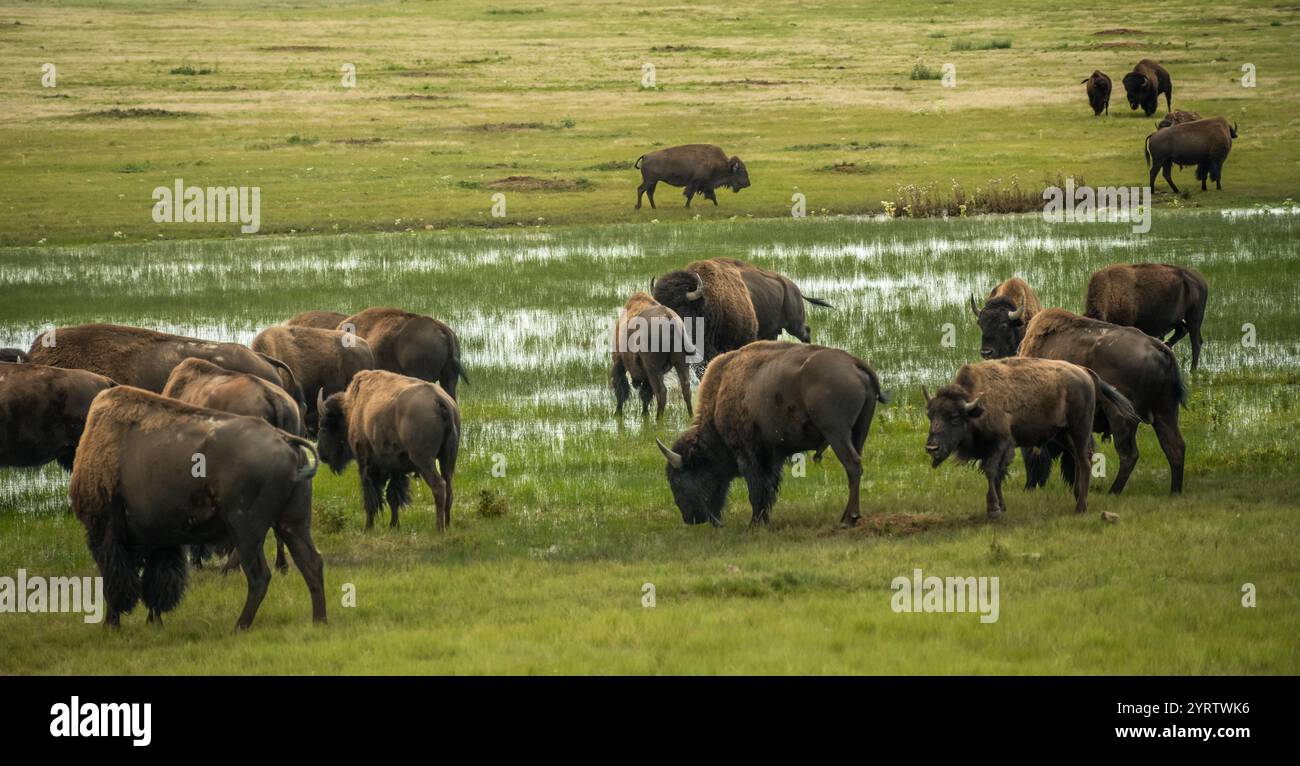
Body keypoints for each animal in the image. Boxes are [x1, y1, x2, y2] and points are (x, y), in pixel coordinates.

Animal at [70, 386, 325, 629]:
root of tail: (286, 440)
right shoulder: (162, 540)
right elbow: (157, 582)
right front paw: (154, 621)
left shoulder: (107, 533)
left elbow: (115, 581)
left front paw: (113, 624)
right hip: (292, 523)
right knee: (311, 563)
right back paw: (318, 621)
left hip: (246, 530)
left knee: (259, 576)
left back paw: (239, 626)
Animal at [318, 370, 460, 531]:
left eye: (323, 427)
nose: (321, 453)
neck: (352, 408)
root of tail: (439, 400)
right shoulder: (396, 469)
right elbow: (393, 497)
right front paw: (393, 525)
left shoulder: (365, 464)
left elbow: (371, 497)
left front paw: (368, 527)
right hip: (447, 459)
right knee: (449, 488)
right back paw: (447, 525)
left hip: (424, 461)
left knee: (439, 486)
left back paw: (439, 528)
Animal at [655, 341, 888, 527]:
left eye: (676, 480)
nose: (690, 519)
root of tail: (853, 363)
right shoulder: (773, 455)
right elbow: (769, 488)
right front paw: (764, 520)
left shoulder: (747, 454)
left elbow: (756, 489)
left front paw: (754, 524)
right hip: (858, 431)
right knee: (854, 469)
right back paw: (845, 517)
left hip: (836, 433)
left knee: (852, 465)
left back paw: (850, 519)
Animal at [924, 357, 1140, 519]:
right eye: (930, 416)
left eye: (954, 417)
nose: (931, 448)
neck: (975, 405)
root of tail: (1085, 372)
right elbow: (997, 476)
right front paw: (1001, 506)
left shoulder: (1001, 444)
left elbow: (992, 472)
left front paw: (993, 509)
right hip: (1062, 434)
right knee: (1080, 459)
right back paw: (1078, 496)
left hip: (1079, 428)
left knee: (1085, 462)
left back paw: (1080, 507)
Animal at [1021, 308, 1188, 493]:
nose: (1029, 486)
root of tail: (1157, 346)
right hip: (1166, 411)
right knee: (1175, 448)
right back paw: (1174, 492)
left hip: (1121, 417)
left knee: (1129, 454)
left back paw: (1112, 492)